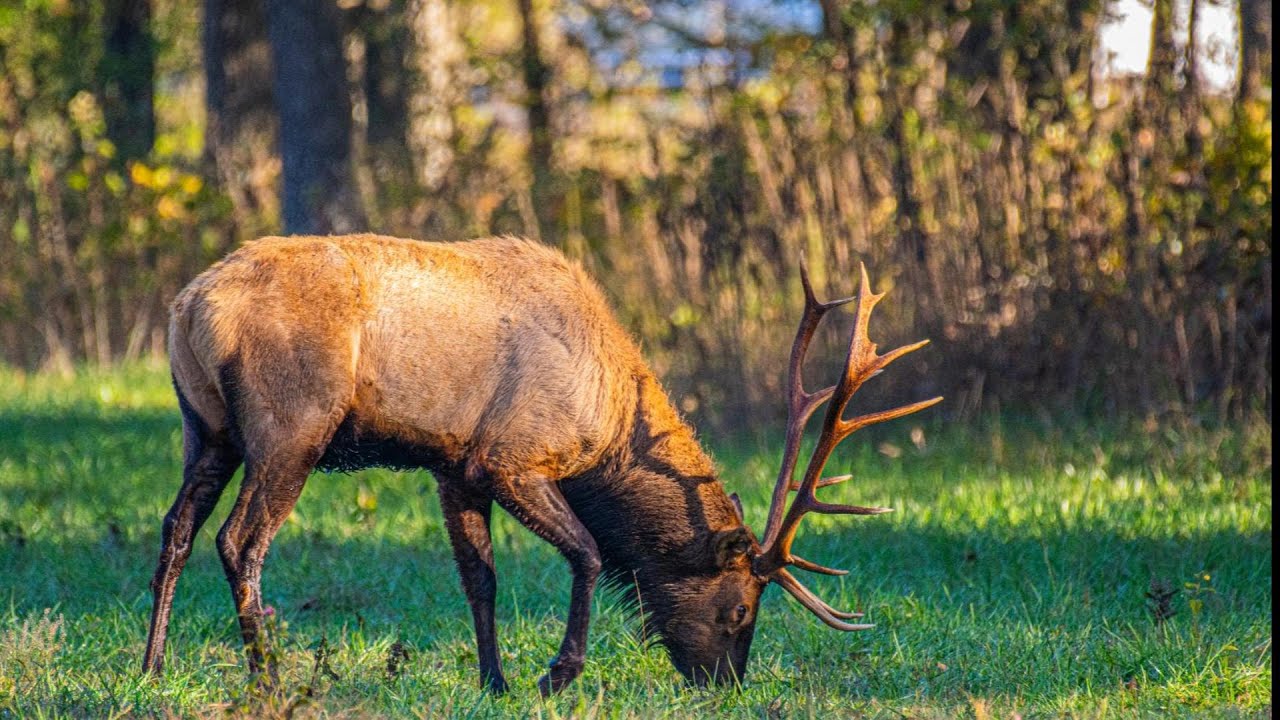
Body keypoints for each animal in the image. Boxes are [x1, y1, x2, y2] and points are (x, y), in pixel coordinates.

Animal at [141, 234, 940, 695]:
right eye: (741, 607)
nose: (728, 686)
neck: (609, 428)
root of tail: (187, 308)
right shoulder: (511, 458)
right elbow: (587, 553)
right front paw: (557, 674)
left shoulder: (453, 467)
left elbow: (480, 579)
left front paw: (493, 682)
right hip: (291, 425)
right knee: (240, 541)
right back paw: (267, 677)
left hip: (205, 428)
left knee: (176, 528)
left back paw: (152, 666)